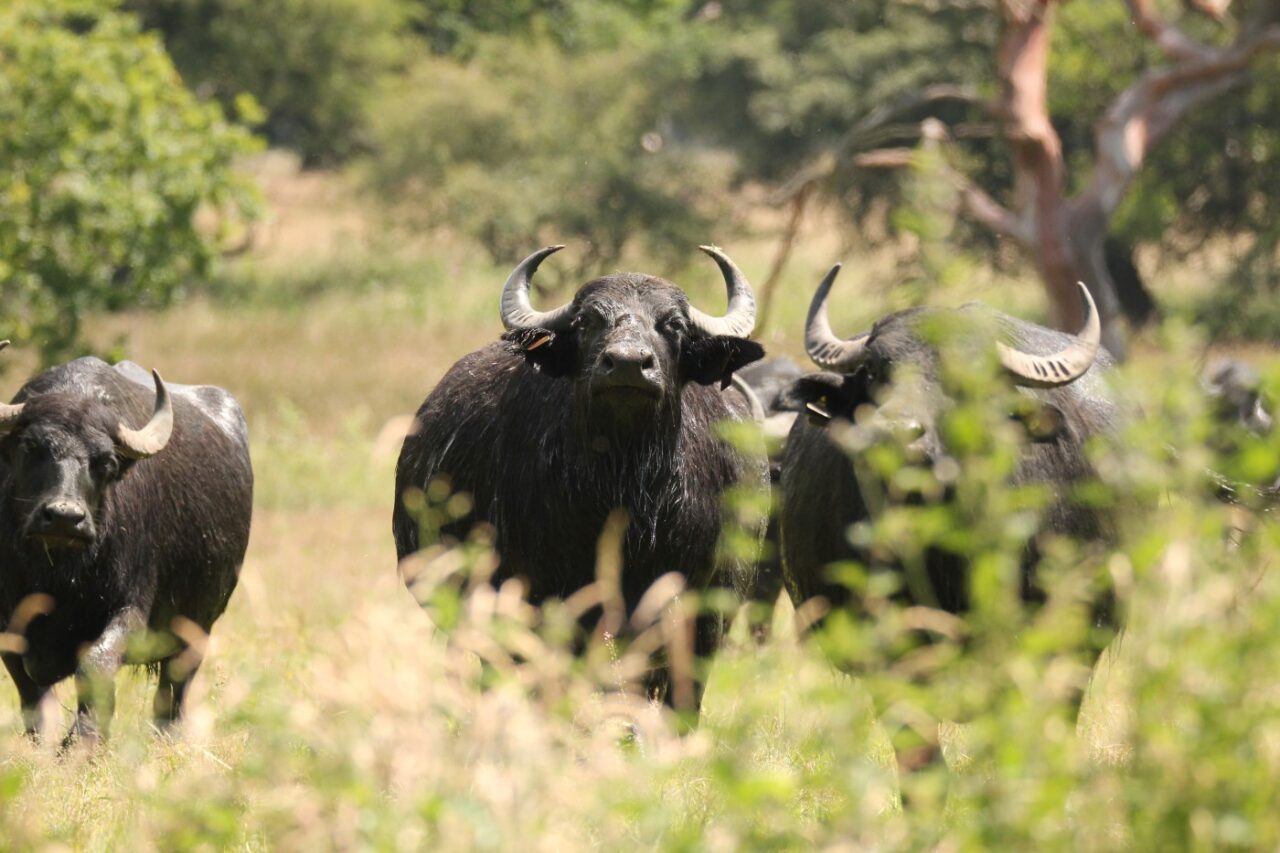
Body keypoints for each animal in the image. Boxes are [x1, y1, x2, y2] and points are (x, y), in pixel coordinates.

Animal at [0, 355, 252, 745]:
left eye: (105, 462)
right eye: (31, 449)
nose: (64, 517)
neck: (59, 575)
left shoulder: (130, 609)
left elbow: (96, 664)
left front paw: (82, 741)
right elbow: (27, 687)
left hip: (198, 627)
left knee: (173, 689)